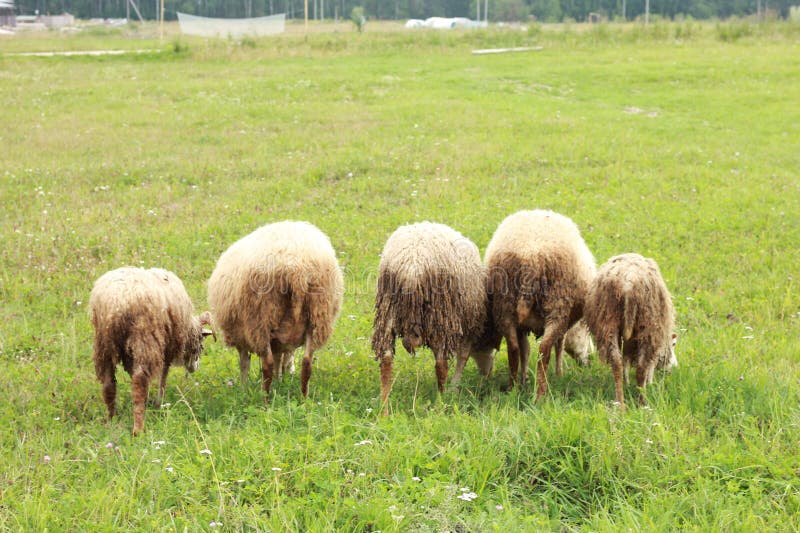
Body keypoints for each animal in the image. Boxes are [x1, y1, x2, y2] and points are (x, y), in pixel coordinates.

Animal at [90, 267, 214, 435]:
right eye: (201, 345)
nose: (195, 368)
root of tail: (118, 300)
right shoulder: (168, 346)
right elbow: (164, 374)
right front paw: (158, 402)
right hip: (145, 337)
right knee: (139, 381)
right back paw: (138, 428)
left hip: (104, 343)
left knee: (109, 383)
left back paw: (112, 418)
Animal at [207, 221, 344, 401]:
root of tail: (296, 269)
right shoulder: (280, 339)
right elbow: (280, 359)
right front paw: (280, 381)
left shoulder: (240, 335)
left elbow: (244, 363)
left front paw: (243, 388)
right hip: (317, 317)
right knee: (306, 362)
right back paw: (304, 398)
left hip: (259, 321)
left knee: (268, 364)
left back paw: (264, 399)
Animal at [372, 222, 499, 416]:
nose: (487, 377)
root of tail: (413, 266)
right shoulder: (469, 326)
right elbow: (463, 356)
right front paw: (454, 388)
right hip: (442, 314)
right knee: (441, 364)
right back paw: (442, 400)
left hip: (388, 309)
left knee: (386, 360)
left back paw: (385, 410)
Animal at [485, 210, 596, 399]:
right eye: (587, 333)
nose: (591, 360)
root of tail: (530, 258)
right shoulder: (565, 321)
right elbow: (559, 345)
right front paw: (559, 374)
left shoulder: (521, 326)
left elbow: (525, 350)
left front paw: (523, 380)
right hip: (557, 305)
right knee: (544, 350)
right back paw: (541, 395)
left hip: (504, 306)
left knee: (513, 348)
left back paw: (512, 388)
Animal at [584, 253, 678, 410]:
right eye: (673, 344)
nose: (673, 368)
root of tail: (629, 283)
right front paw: (649, 383)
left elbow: (626, 364)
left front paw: (627, 382)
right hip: (649, 327)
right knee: (642, 367)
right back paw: (642, 402)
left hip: (608, 321)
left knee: (617, 362)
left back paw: (621, 402)